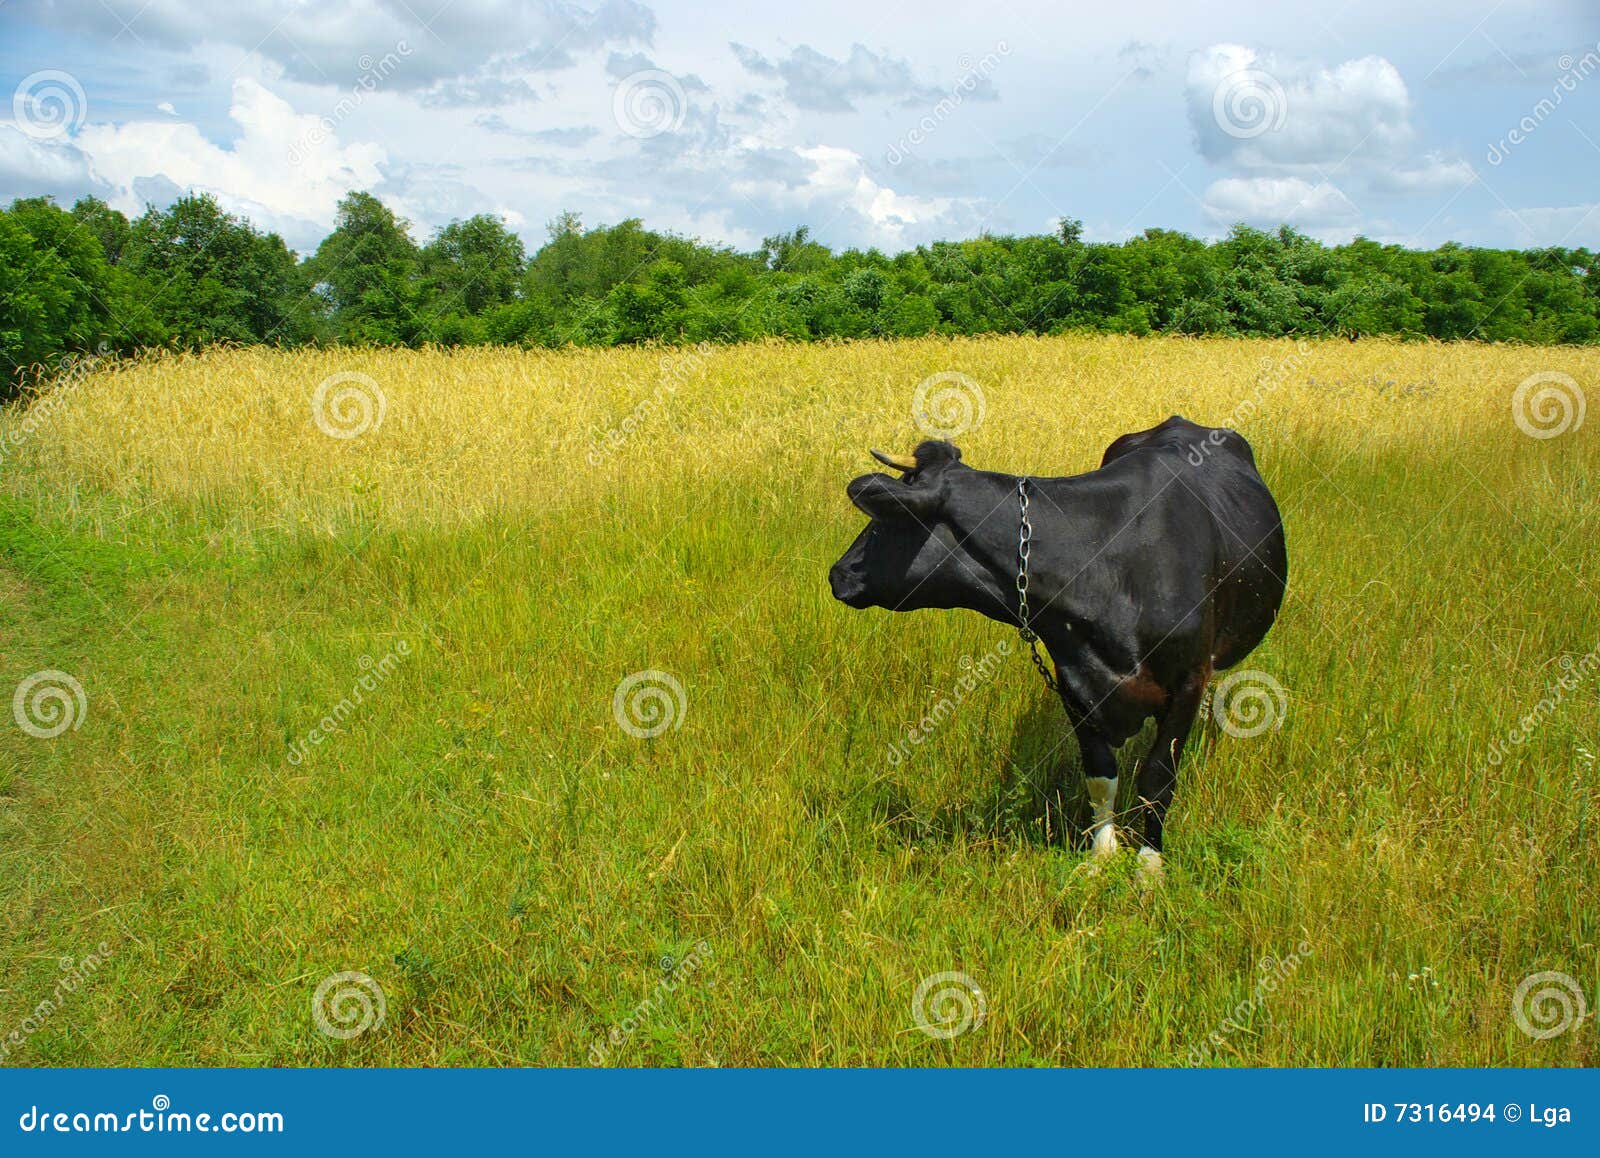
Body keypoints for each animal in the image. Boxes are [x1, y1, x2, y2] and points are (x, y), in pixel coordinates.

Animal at [828, 415, 1287, 878]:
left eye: (883, 520)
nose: (837, 572)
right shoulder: (1074, 680)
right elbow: (1100, 774)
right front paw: (1101, 854)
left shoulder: (1188, 681)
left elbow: (1158, 777)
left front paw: (1149, 865)